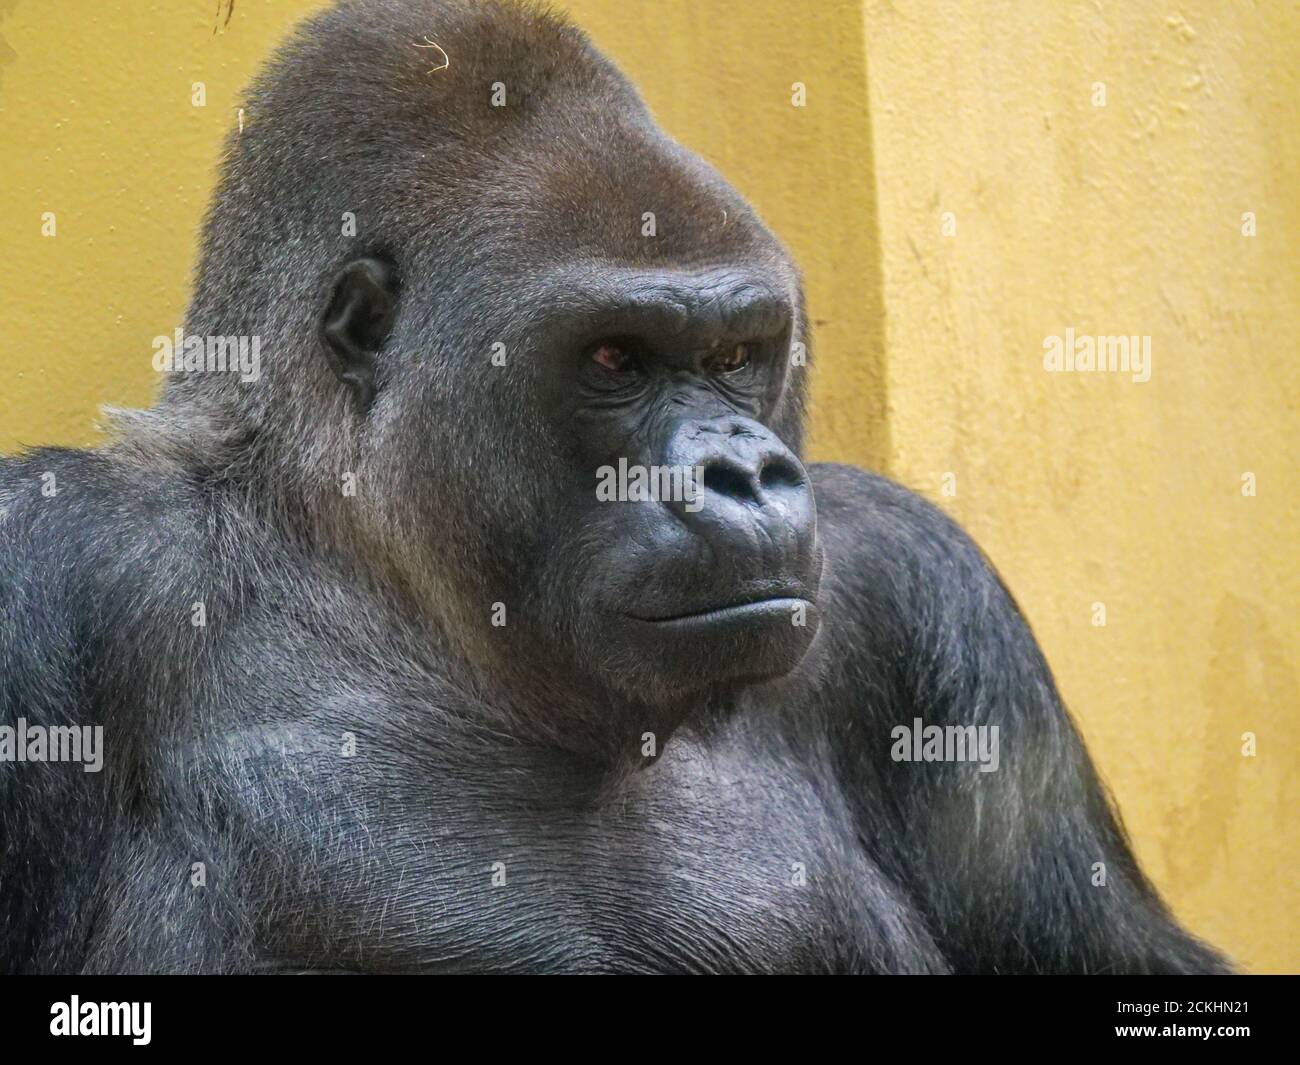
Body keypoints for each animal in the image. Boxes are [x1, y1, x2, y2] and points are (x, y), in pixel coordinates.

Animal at [0, 0, 1230, 973]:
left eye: (738, 352)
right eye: (611, 360)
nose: (743, 472)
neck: (381, 571)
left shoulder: (919, 584)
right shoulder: (52, 563)